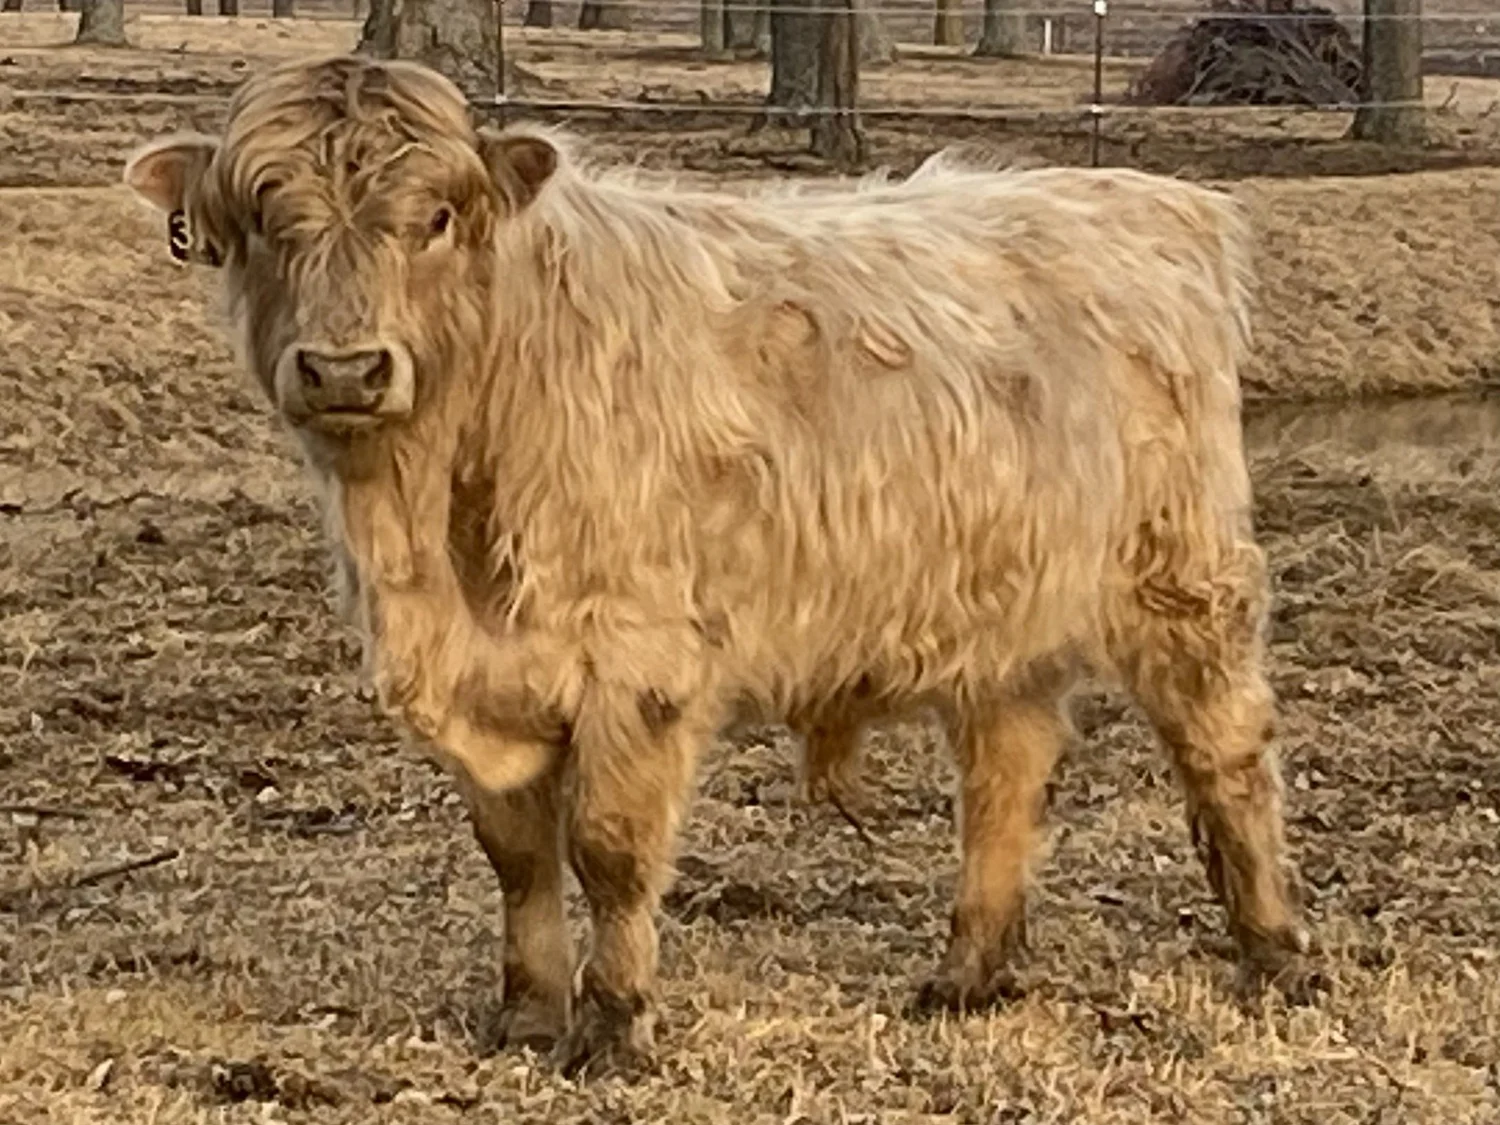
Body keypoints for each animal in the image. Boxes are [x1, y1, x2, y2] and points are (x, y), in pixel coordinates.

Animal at [123, 53, 1310, 1073]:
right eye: (262, 219)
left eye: (436, 218)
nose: (344, 368)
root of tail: (1143, 196)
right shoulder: (488, 680)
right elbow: (515, 851)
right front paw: (524, 1016)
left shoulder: (637, 658)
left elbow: (607, 848)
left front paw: (612, 1027)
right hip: (997, 611)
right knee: (1005, 773)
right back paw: (967, 974)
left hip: (1183, 574)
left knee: (1225, 749)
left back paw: (1272, 956)